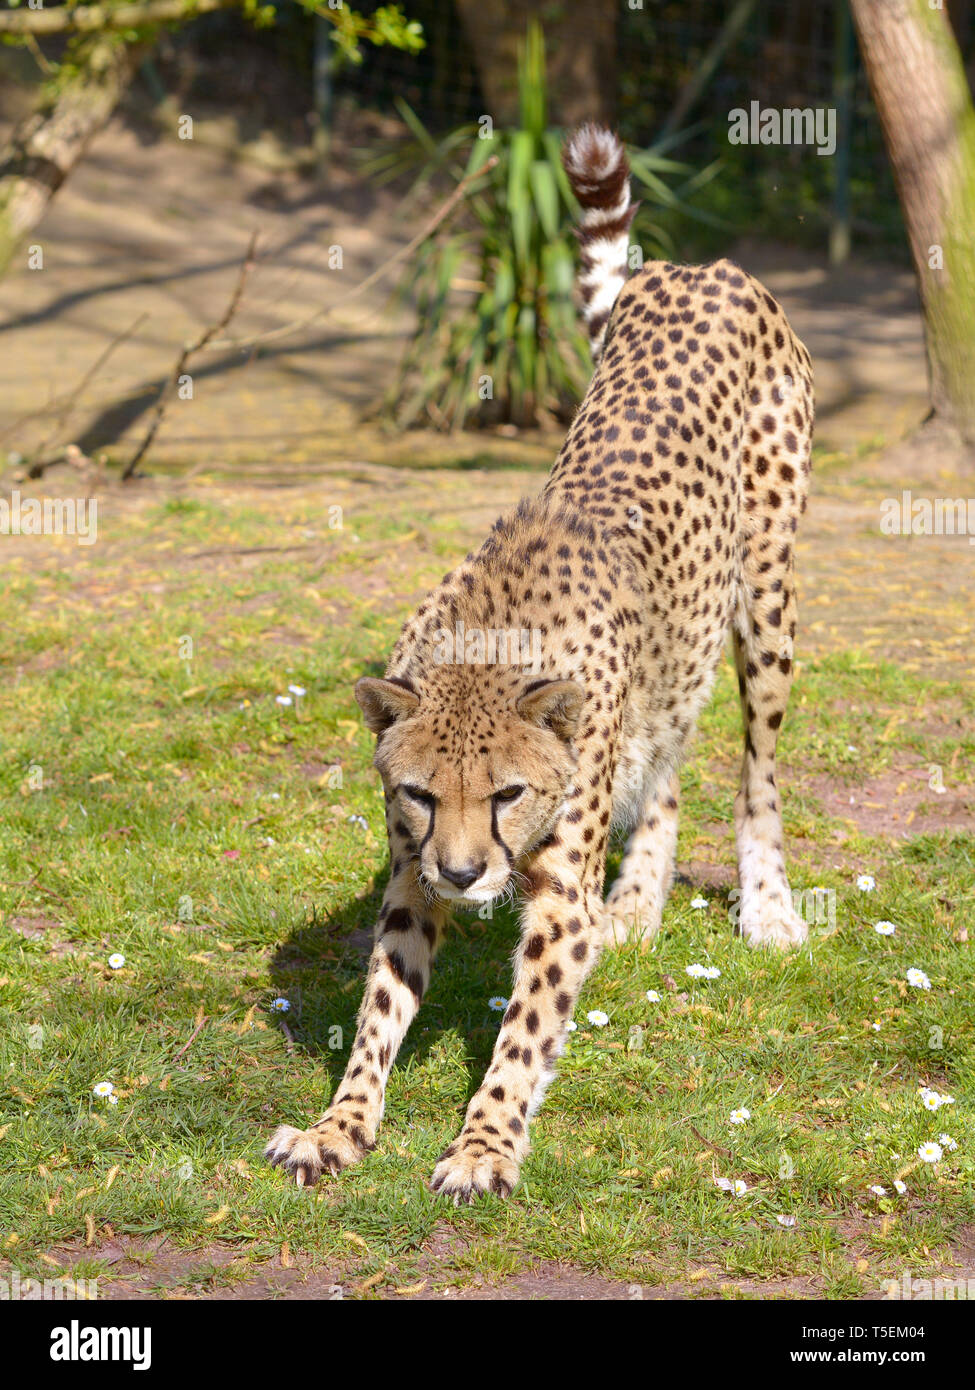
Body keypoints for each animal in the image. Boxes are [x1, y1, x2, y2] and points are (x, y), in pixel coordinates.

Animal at [266, 123, 815, 1202]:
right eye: (421, 794)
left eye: (509, 791)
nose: (466, 871)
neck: (487, 645)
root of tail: (697, 269)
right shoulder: (407, 878)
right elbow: (377, 1013)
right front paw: (339, 1126)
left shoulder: (555, 892)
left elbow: (522, 1034)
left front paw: (483, 1145)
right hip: (675, 653)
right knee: (669, 747)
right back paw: (636, 902)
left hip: (766, 600)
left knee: (757, 766)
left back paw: (764, 906)